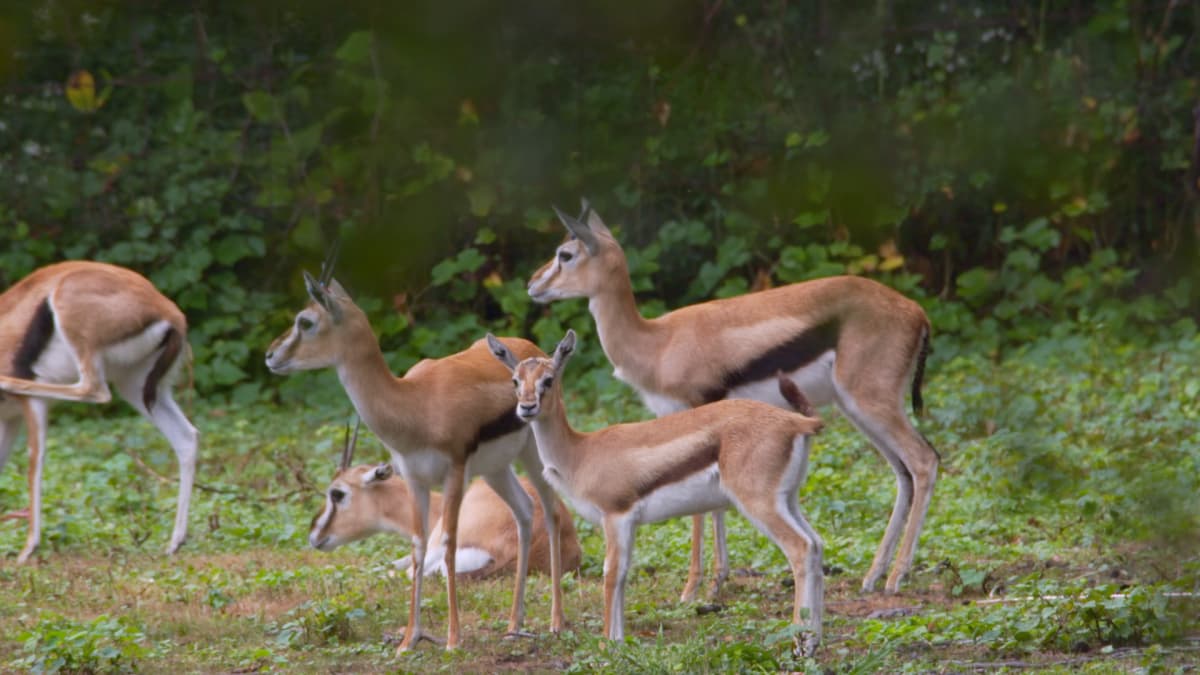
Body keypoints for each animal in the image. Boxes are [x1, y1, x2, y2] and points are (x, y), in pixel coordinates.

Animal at [0, 261, 197, 562]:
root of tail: (170, 312)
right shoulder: (9, 420)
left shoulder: (31, 404)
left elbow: (35, 462)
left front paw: (27, 551)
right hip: (137, 387)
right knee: (187, 438)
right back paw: (174, 543)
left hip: (79, 335)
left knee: (94, 390)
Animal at [488, 330, 826, 653]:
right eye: (515, 380)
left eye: (548, 379)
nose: (526, 408)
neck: (580, 453)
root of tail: (797, 422)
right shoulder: (628, 524)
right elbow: (623, 574)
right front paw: (619, 643)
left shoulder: (616, 516)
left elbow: (611, 574)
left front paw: (605, 645)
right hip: (787, 500)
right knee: (815, 545)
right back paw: (812, 640)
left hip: (758, 503)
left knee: (799, 548)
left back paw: (799, 643)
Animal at [527, 202, 938, 595]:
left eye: (565, 254)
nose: (532, 285)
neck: (657, 343)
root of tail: (917, 312)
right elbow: (713, 505)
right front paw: (716, 581)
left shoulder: (697, 409)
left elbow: (700, 510)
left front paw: (692, 587)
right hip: (857, 410)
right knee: (902, 472)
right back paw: (873, 575)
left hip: (870, 403)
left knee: (923, 461)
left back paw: (895, 578)